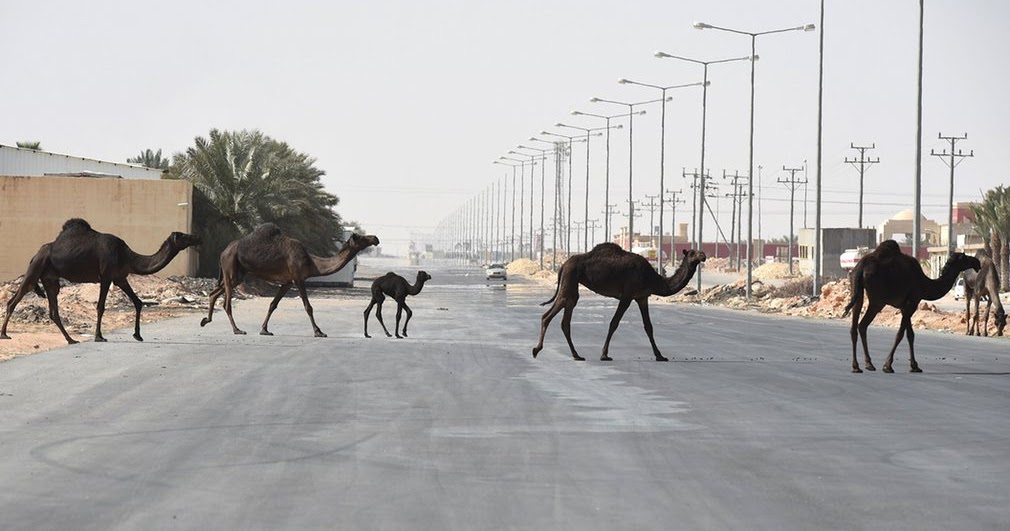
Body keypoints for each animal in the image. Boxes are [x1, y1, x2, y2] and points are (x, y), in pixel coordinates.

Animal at [1, 218, 201, 344]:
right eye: (183, 236)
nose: (197, 237)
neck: (127, 256)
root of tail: (34, 255)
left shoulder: (120, 277)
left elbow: (138, 302)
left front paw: (138, 335)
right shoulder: (106, 276)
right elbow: (100, 306)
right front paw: (99, 336)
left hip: (50, 279)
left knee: (53, 311)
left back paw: (71, 340)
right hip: (35, 270)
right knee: (14, 300)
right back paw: (4, 334)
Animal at [200, 223, 379, 337]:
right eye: (361, 237)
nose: (375, 238)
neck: (311, 262)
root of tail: (223, 251)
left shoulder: (287, 282)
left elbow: (273, 304)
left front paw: (265, 330)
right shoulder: (298, 278)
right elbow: (308, 307)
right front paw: (319, 332)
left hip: (238, 273)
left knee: (214, 292)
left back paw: (206, 320)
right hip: (230, 267)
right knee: (226, 302)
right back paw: (237, 330)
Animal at [532, 244, 707, 361]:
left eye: (699, 251)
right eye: (692, 253)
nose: (703, 255)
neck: (652, 278)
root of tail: (563, 265)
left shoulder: (642, 297)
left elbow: (648, 326)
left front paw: (660, 356)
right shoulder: (627, 296)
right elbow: (614, 323)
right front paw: (604, 355)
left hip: (572, 284)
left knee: (565, 320)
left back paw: (577, 355)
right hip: (570, 278)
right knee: (550, 314)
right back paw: (536, 350)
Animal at [843, 240, 981, 373]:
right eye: (964, 257)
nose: (977, 262)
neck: (924, 283)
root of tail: (860, 268)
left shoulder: (905, 306)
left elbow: (910, 334)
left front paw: (914, 366)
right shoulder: (912, 302)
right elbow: (900, 334)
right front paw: (888, 365)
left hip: (856, 290)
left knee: (854, 327)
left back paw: (858, 366)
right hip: (877, 301)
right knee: (863, 325)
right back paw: (868, 364)